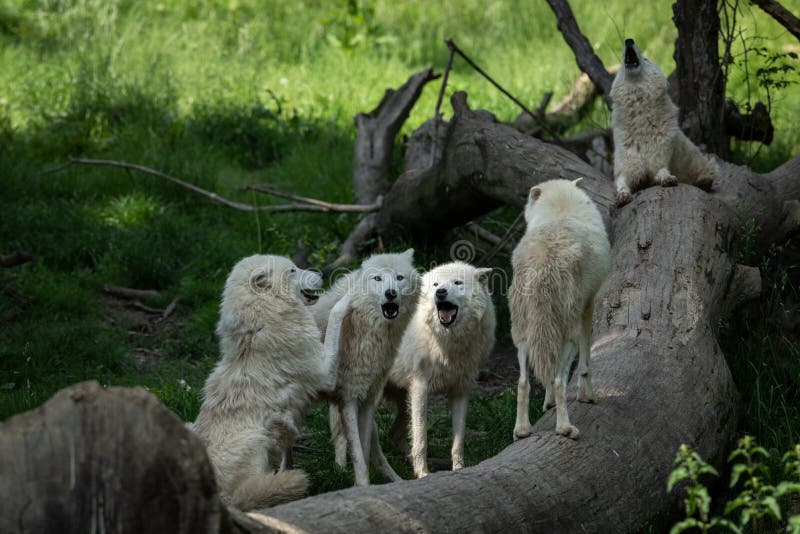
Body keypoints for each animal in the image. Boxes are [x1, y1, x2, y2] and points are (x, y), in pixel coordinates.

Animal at [191, 254, 347, 510]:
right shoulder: (325, 373)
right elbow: (335, 316)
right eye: (293, 270)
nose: (321, 273)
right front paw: (348, 295)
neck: (258, 325)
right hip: (256, 439)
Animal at [314, 249, 421, 486]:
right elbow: (358, 454)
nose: (390, 293)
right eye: (378, 279)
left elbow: (362, 450)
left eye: (399, 277)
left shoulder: (368, 399)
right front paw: (362, 485)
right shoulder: (349, 399)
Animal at [382, 261, 496, 478]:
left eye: (457, 282)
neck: (446, 342)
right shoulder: (420, 389)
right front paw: (423, 474)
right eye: (435, 285)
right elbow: (421, 439)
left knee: (392, 433)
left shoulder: (460, 391)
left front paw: (459, 469)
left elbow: (458, 441)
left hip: (404, 402)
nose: (441, 292)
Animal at [509, 179, 610, 440]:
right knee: (558, 379)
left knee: (523, 382)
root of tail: (543, 262)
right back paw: (565, 428)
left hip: (523, 336)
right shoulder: (589, 305)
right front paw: (587, 396)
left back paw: (522, 431)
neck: (560, 207)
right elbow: (585, 363)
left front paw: (548, 403)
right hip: (567, 334)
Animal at [611, 38, 717, 207]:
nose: (629, 40)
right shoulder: (626, 167)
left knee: (709, 176)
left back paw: (703, 182)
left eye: (646, 59)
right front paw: (622, 196)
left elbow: (662, 171)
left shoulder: (659, 160)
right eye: (622, 63)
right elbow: (621, 183)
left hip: (704, 162)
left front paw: (668, 179)